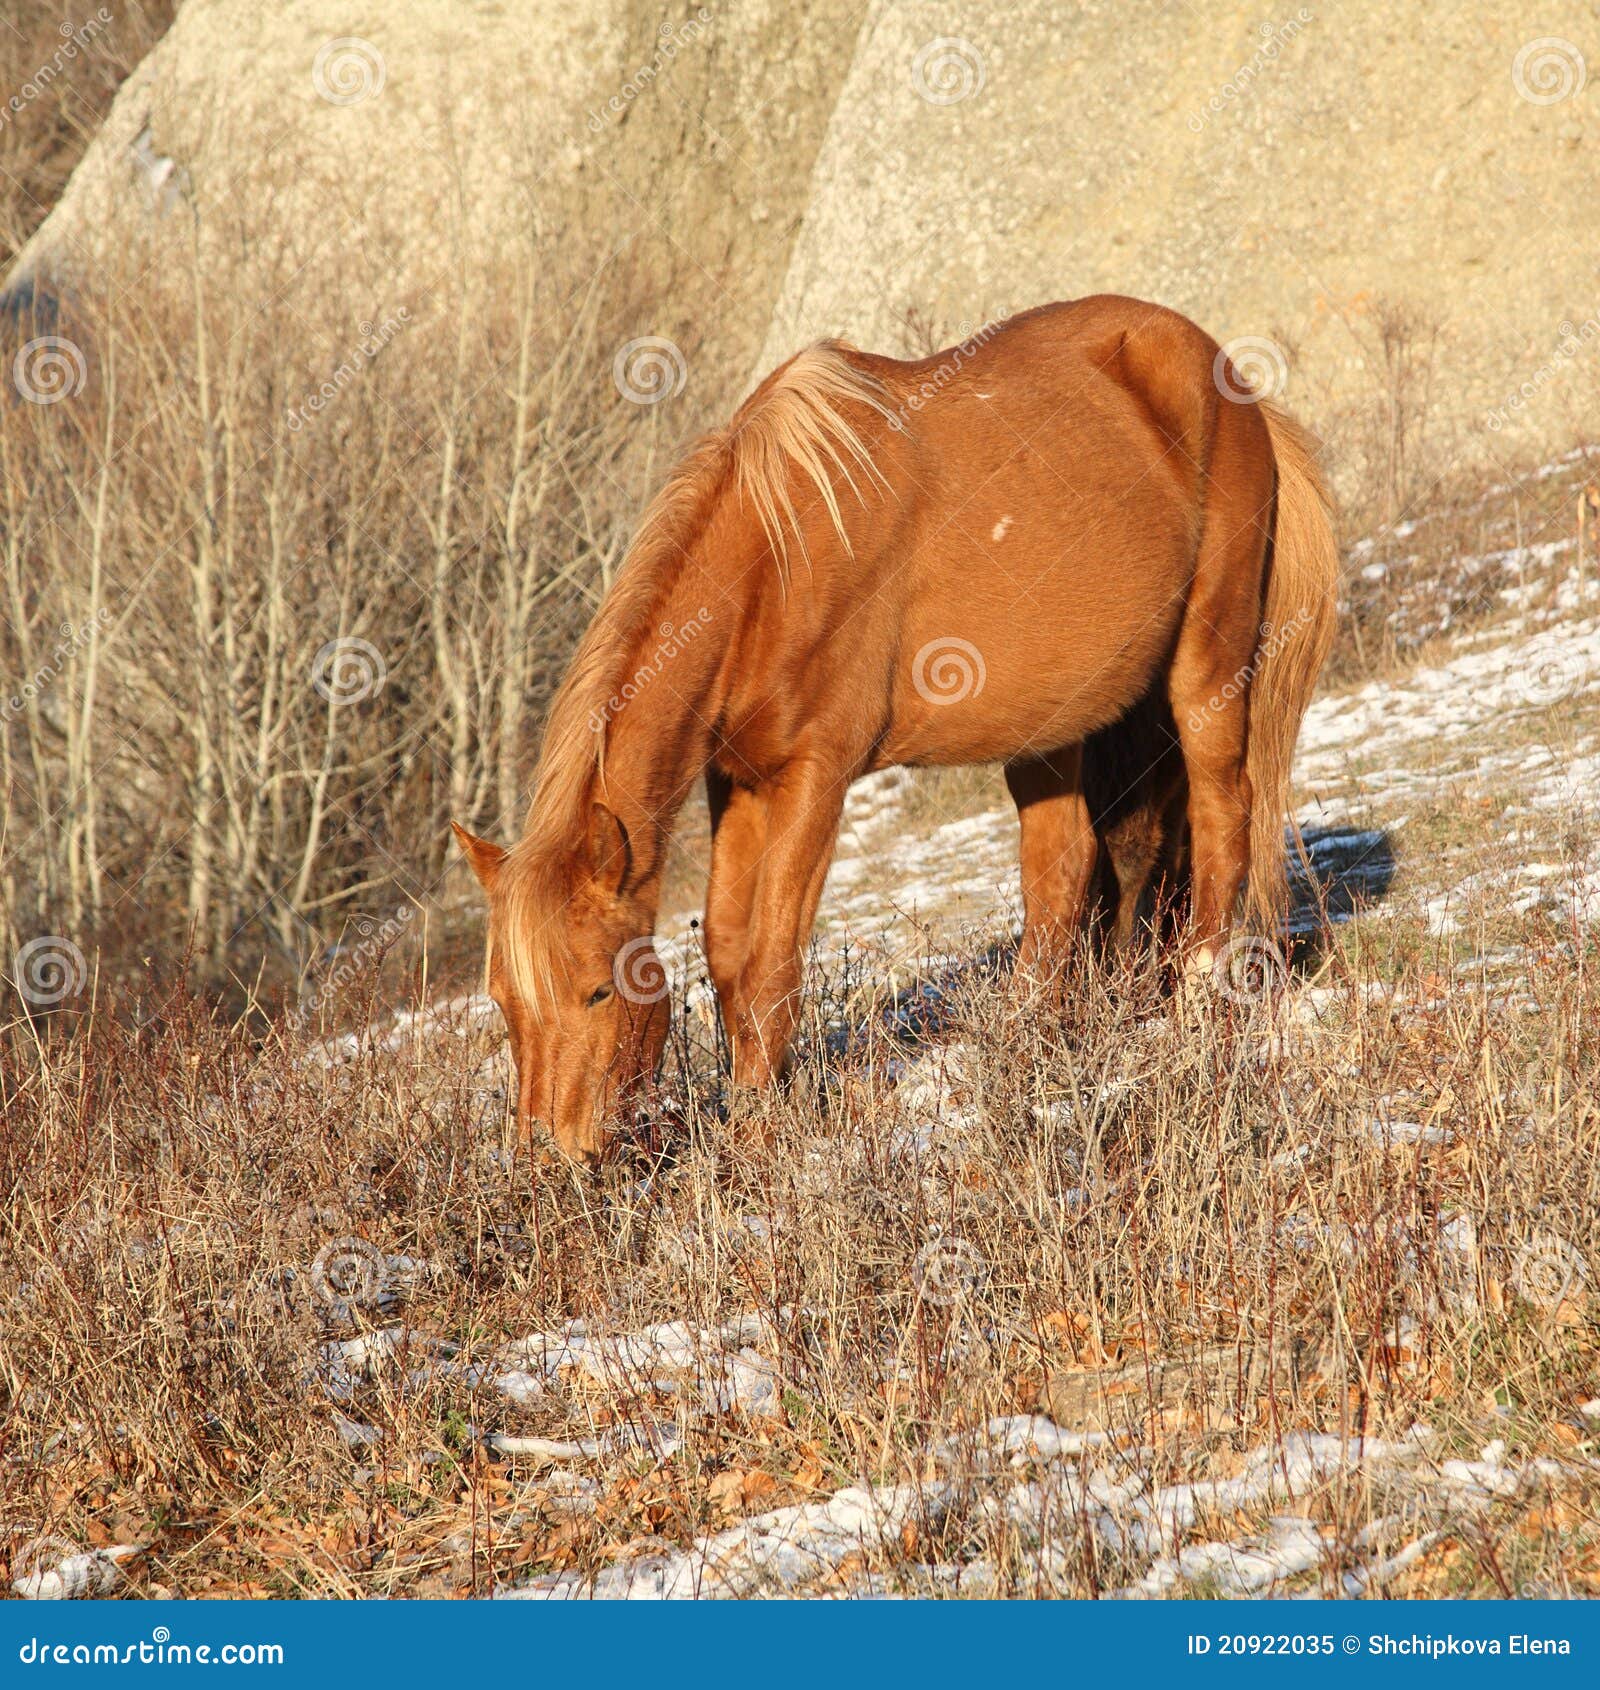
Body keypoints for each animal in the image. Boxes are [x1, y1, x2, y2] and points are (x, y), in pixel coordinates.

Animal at [454, 295, 1340, 1163]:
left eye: (598, 990)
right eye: (504, 1000)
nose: (549, 1156)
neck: (777, 558)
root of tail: (1231, 382)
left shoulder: (817, 775)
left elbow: (771, 963)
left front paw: (758, 1136)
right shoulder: (735, 779)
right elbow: (729, 955)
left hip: (1208, 667)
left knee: (1224, 818)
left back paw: (1196, 1012)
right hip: (1051, 727)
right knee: (1063, 870)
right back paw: (1031, 1047)